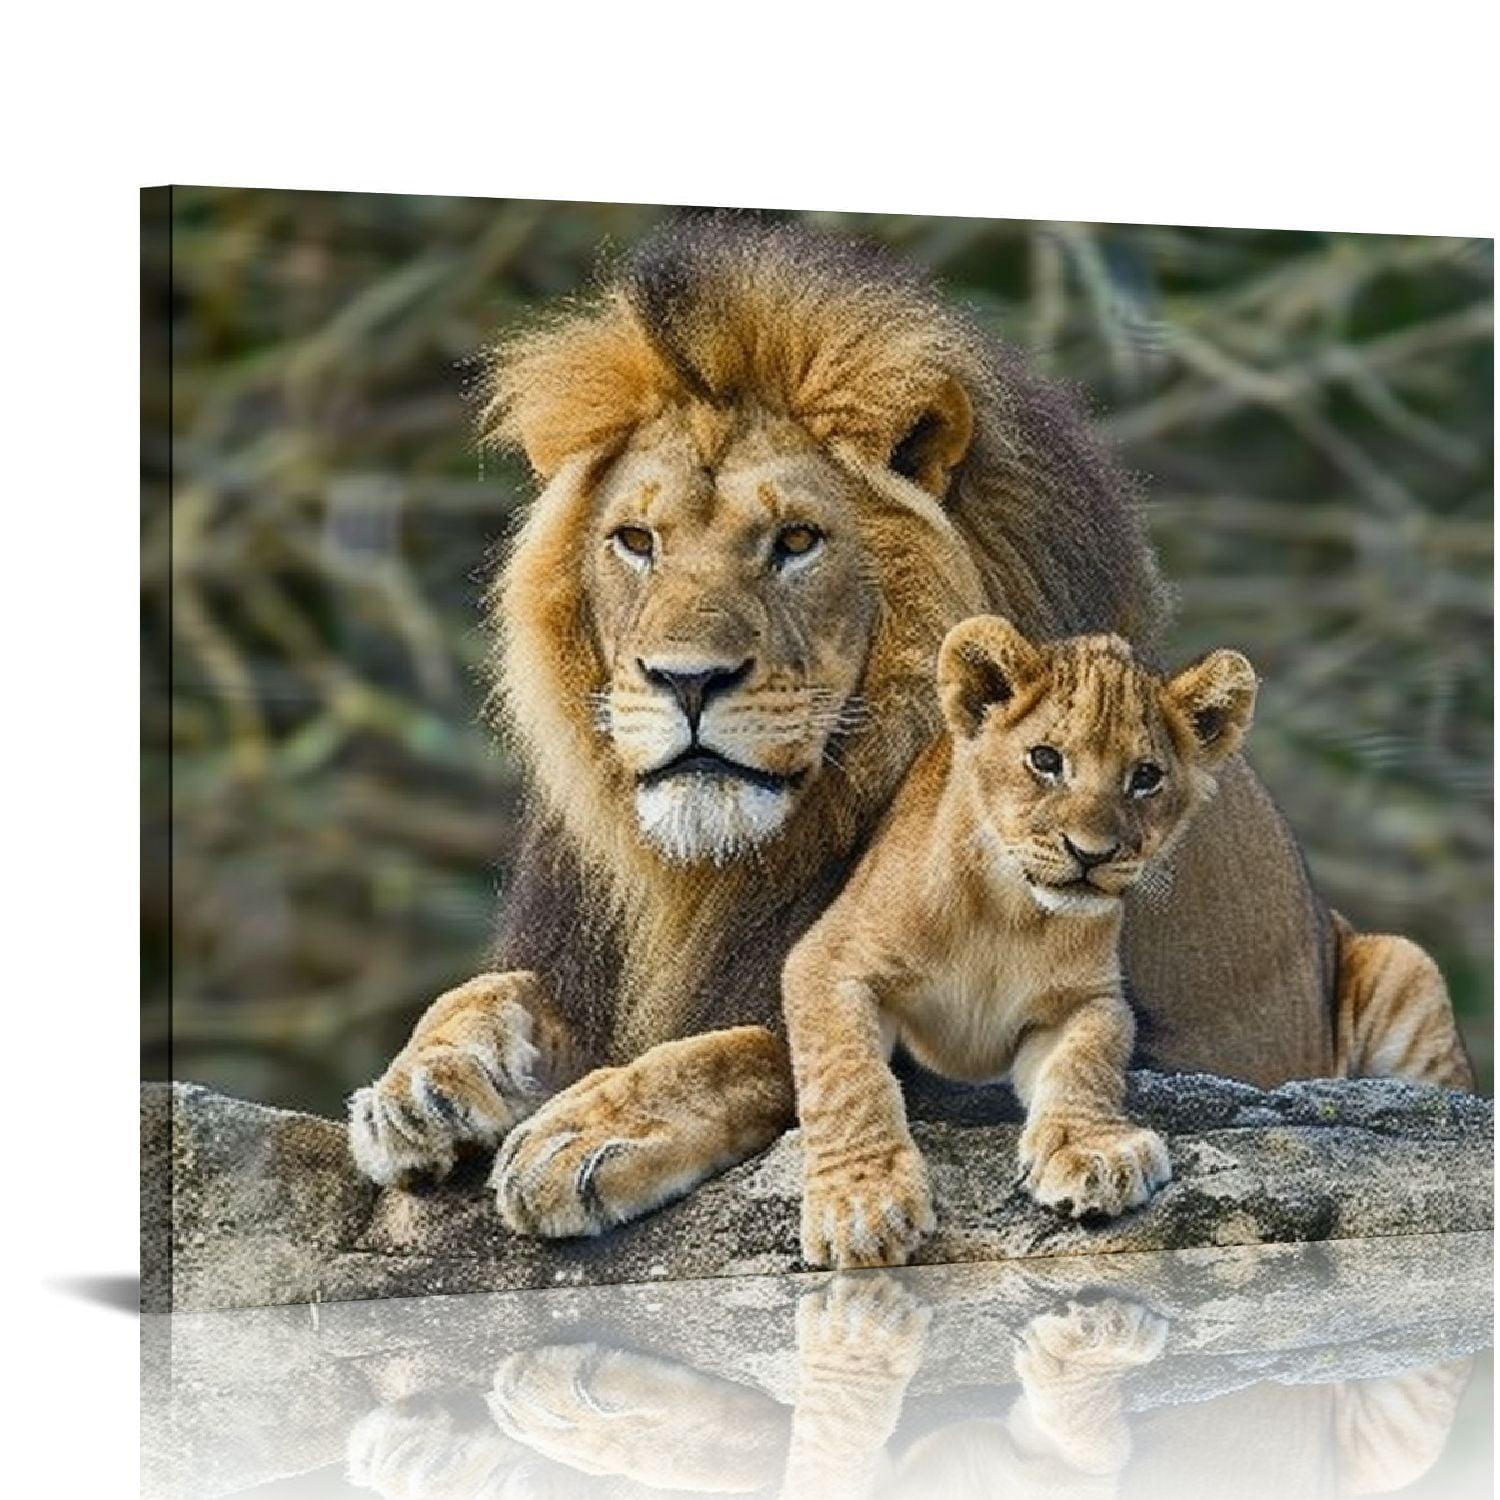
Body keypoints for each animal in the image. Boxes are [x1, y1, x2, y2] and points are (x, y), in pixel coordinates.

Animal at [787, 617, 1258, 1268]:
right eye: (1045, 759)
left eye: (1145, 777)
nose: (1091, 854)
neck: (1008, 913)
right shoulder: (826, 958)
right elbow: (846, 1075)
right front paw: (860, 1201)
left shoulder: (1089, 999)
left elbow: (1087, 1060)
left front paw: (1095, 1152)